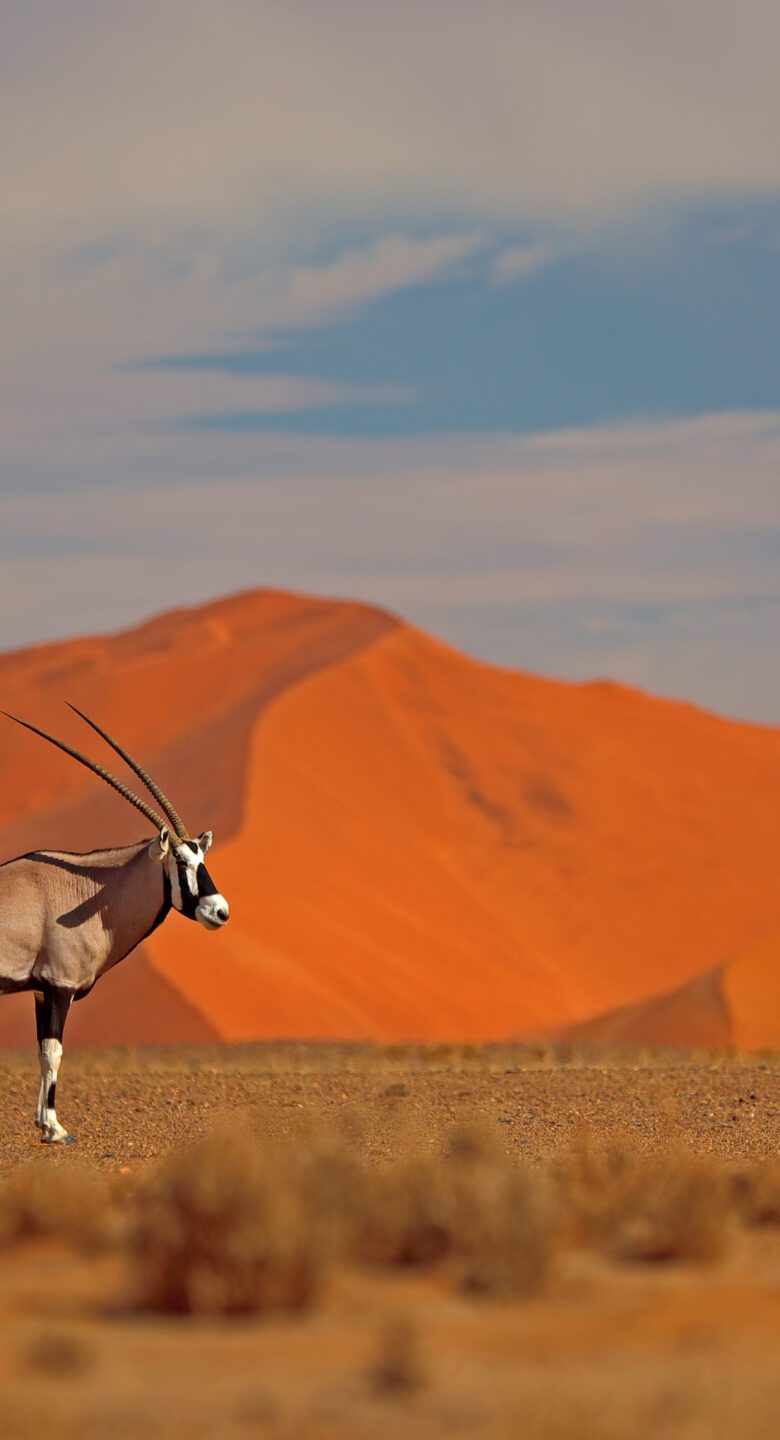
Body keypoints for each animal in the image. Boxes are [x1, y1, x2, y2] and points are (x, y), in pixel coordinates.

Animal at [0, 705, 229, 1143]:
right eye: (180, 861)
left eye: (202, 858)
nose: (220, 911)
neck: (90, 891)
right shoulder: (60, 986)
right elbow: (54, 1052)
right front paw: (55, 1128)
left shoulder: (39, 991)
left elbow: (41, 1049)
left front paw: (42, 1123)